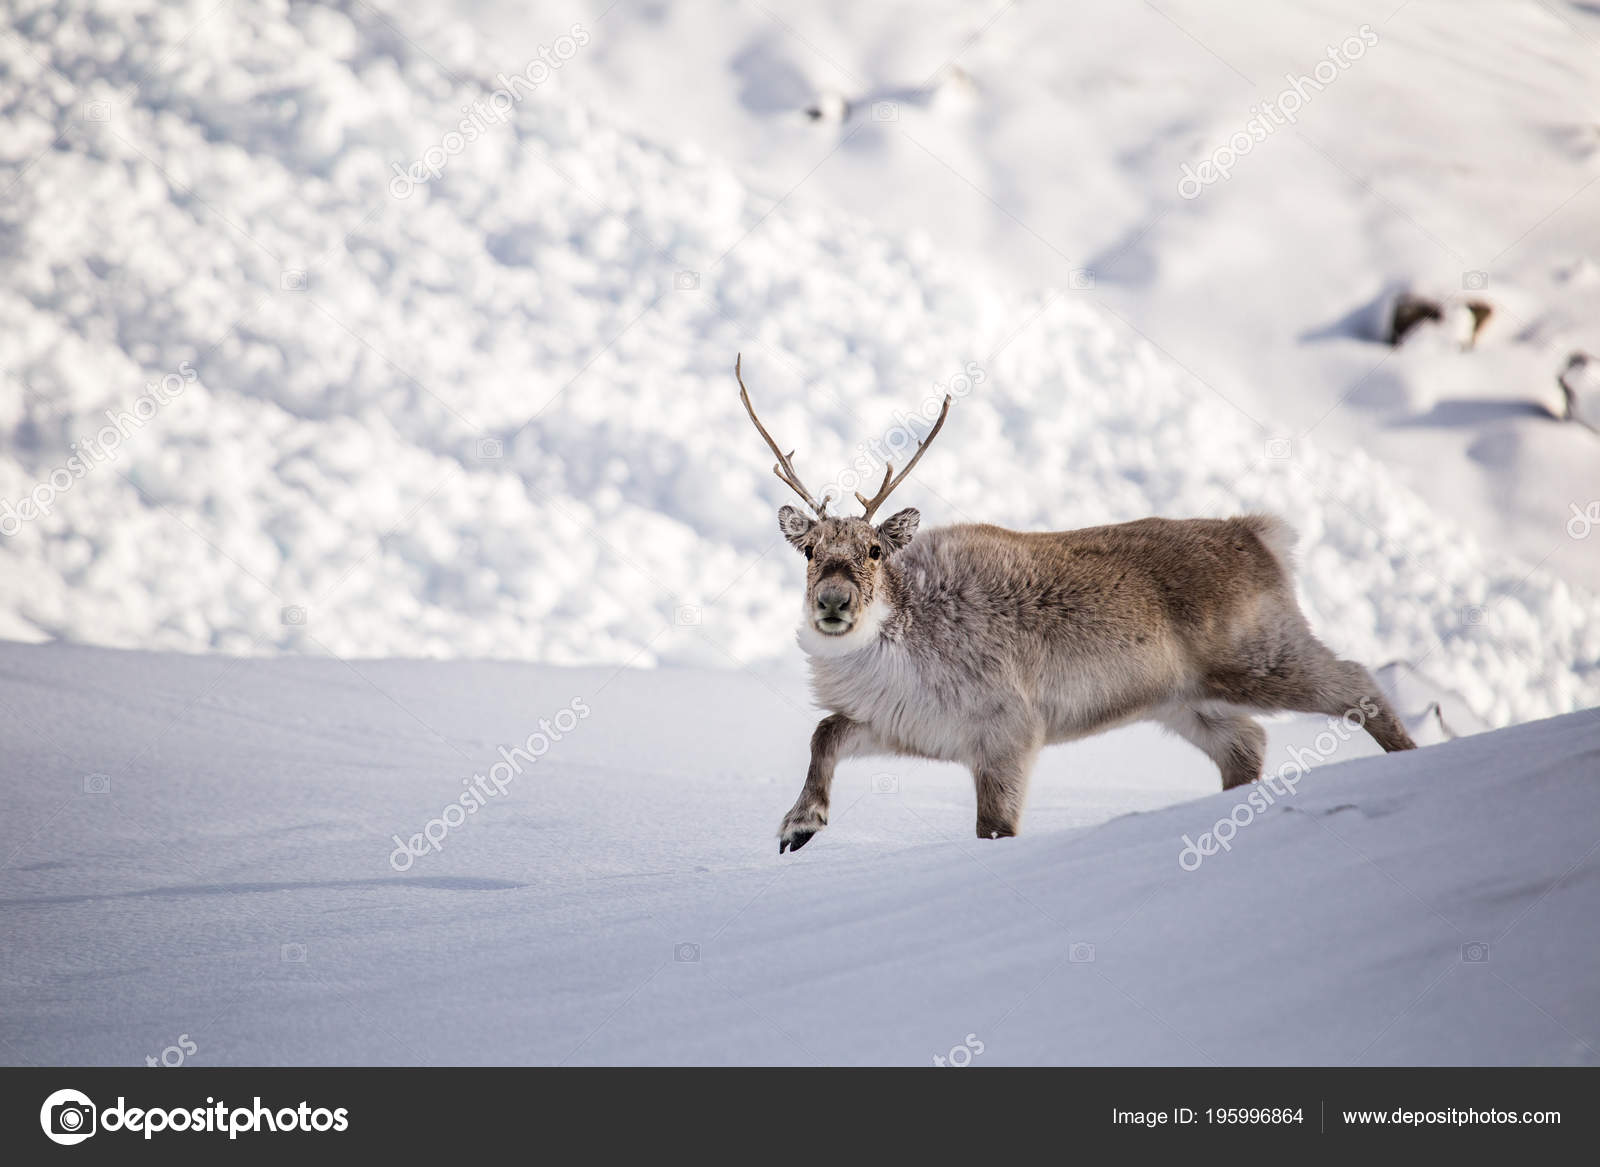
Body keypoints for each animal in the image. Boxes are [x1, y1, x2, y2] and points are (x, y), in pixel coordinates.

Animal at [734, 356, 1419, 854]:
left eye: (875, 550)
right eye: (809, 551)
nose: (833, 602)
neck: (900, 640)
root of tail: (1262, 535)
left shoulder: (1010, 731)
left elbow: (994, 829)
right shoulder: (906, 725)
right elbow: (825, 731)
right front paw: (799, 825)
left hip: (1261, 655)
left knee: (1355, 681)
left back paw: (1412, 762)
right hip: (1186, 701)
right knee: (1247, 742)